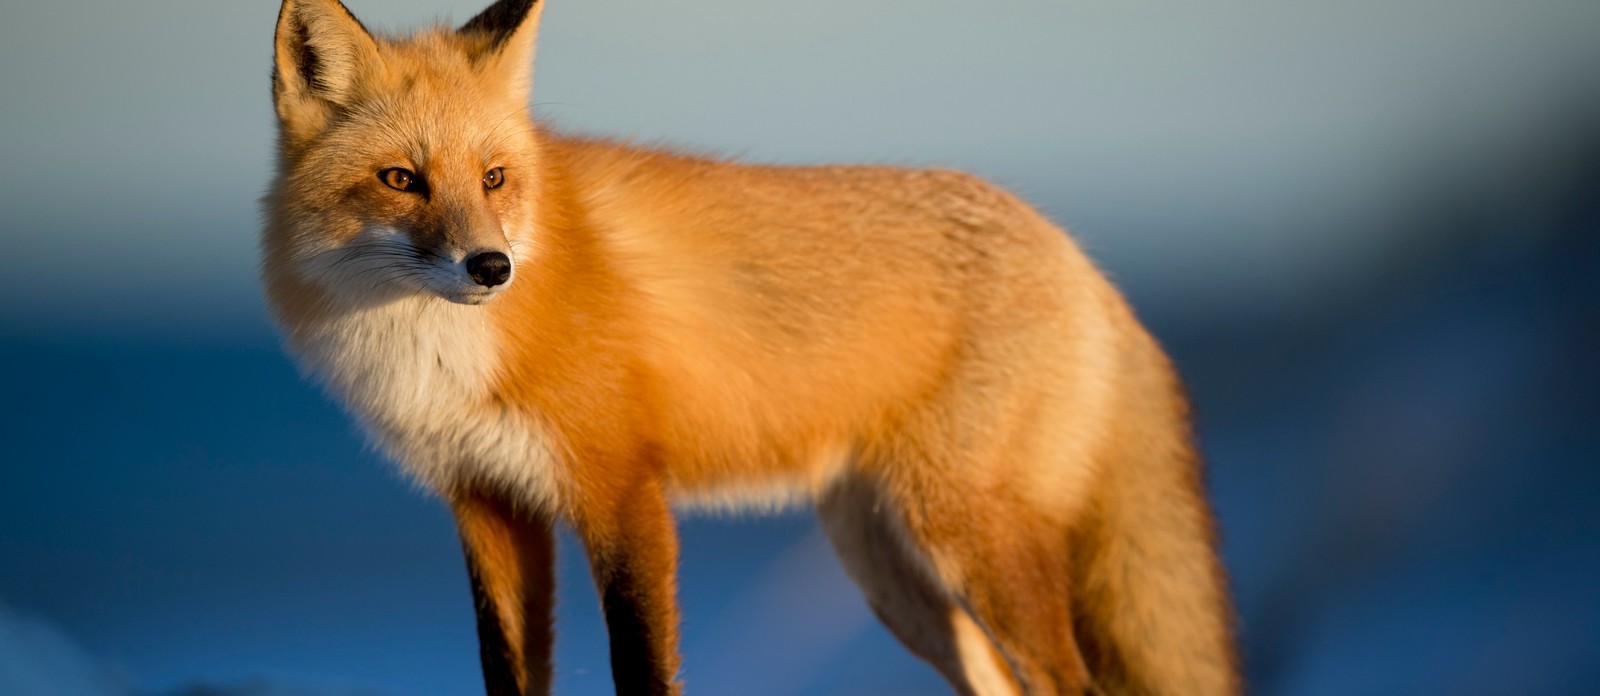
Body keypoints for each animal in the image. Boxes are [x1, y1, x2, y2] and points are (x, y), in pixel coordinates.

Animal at [262, 0, 1239, 694]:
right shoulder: (488, 504)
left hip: (970, 540)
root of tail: (1080, 256)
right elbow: (509, 673)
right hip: (892, 573)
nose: (492, 266)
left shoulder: (623, 491)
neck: (437, 355)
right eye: (401, 179)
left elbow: (642, 671)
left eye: (495, 178)